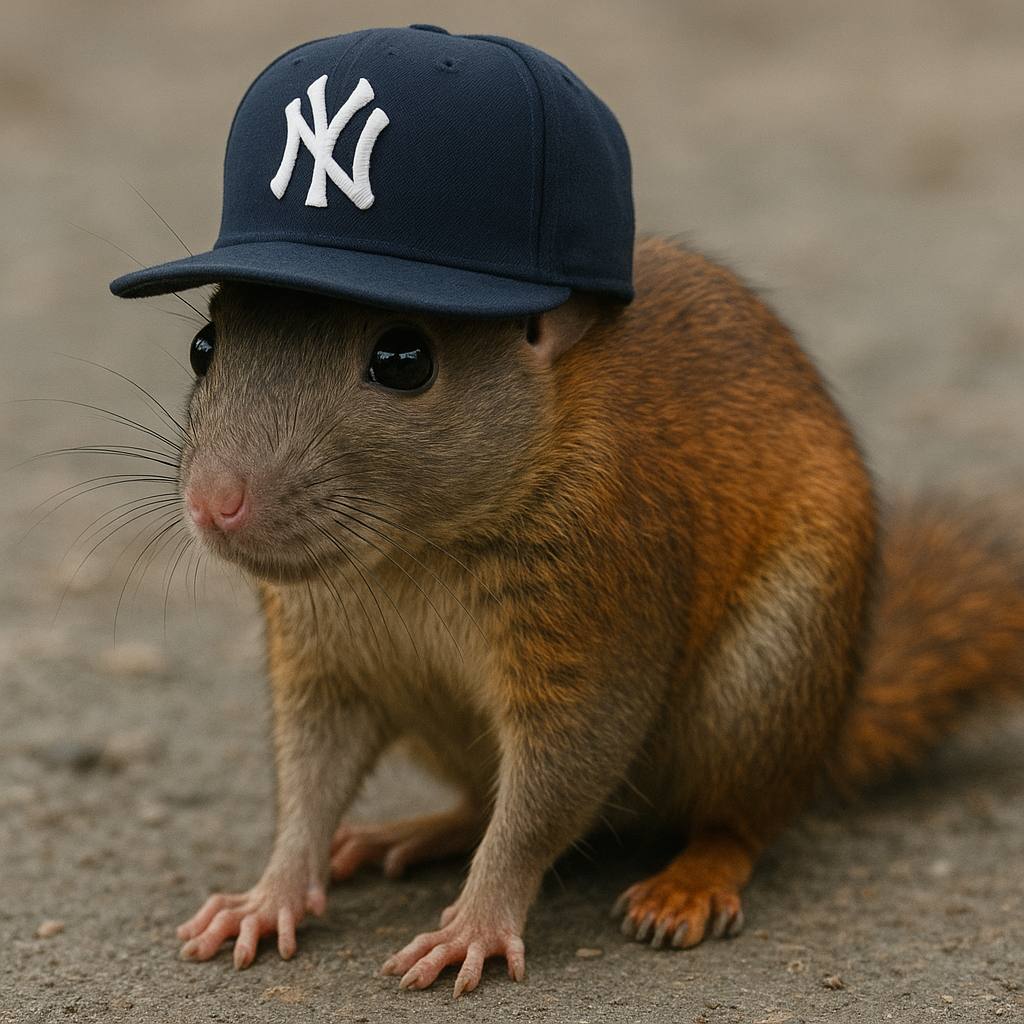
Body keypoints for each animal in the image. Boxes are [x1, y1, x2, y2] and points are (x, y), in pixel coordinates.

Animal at [169, 236, 1024, 995]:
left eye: (404, 360)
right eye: (205, 345)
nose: (214, 504)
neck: (413, 552)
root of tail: (830, 733)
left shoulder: (601, 605)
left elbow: (554, 786)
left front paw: (476, 924)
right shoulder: (323, 659)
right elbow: (309, 780)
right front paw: (269, 895)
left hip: (769, 679)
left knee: (742, 822)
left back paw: (690, 882)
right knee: (479, 797)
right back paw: (415, 831)